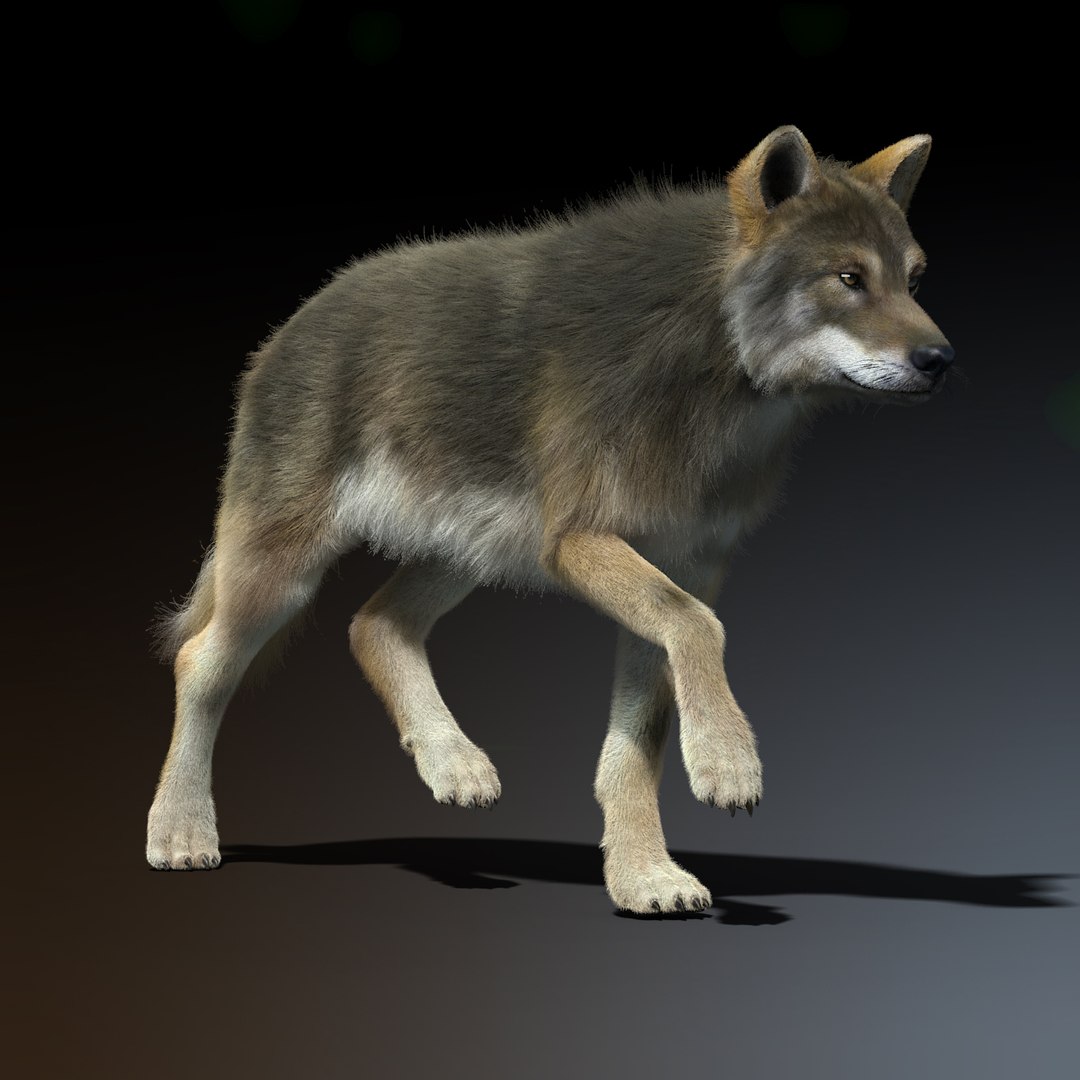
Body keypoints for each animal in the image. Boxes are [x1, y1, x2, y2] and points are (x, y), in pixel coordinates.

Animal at [147, 126, 953, 914]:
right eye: (848, 279)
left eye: (913, 281)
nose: (942, 359)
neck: (709, 368)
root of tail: (294, 321)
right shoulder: (579, 543)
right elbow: (699, 627)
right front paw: (727, 762)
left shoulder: (685, 563)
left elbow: (637, 742)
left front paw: (643, 875)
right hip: (285, 571)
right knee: (201, 663)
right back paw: (180, 831)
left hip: (464, 553)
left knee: (373, 624)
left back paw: (454, 765)